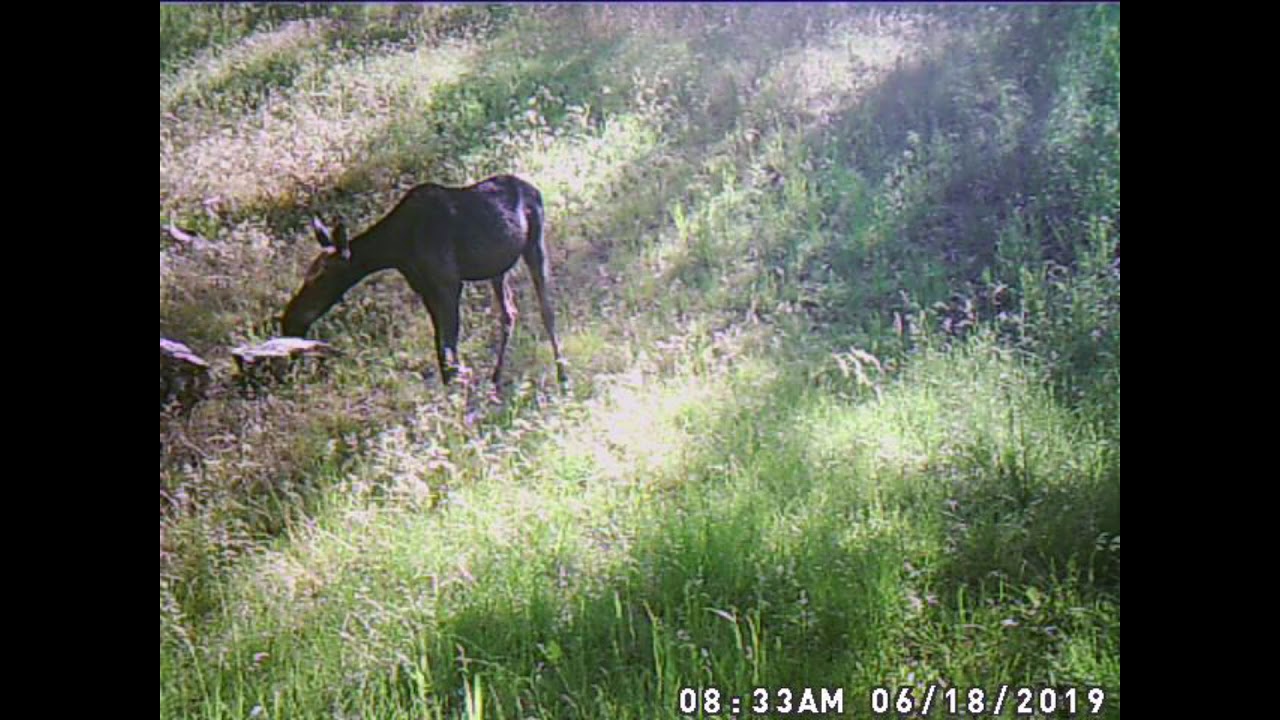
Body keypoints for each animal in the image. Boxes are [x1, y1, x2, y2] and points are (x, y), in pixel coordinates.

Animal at [280, 174, 568, 388]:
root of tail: (534, 189)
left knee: (547, 309)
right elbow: (442, 352)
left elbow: (450, 350)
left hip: (534, 245)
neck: (398, 249)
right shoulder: (425, 289)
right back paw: (496, 379)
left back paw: (562, 376)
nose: (289, 319)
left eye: (322, 277)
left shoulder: (449, 283)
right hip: (498, 266)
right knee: (509, 311)